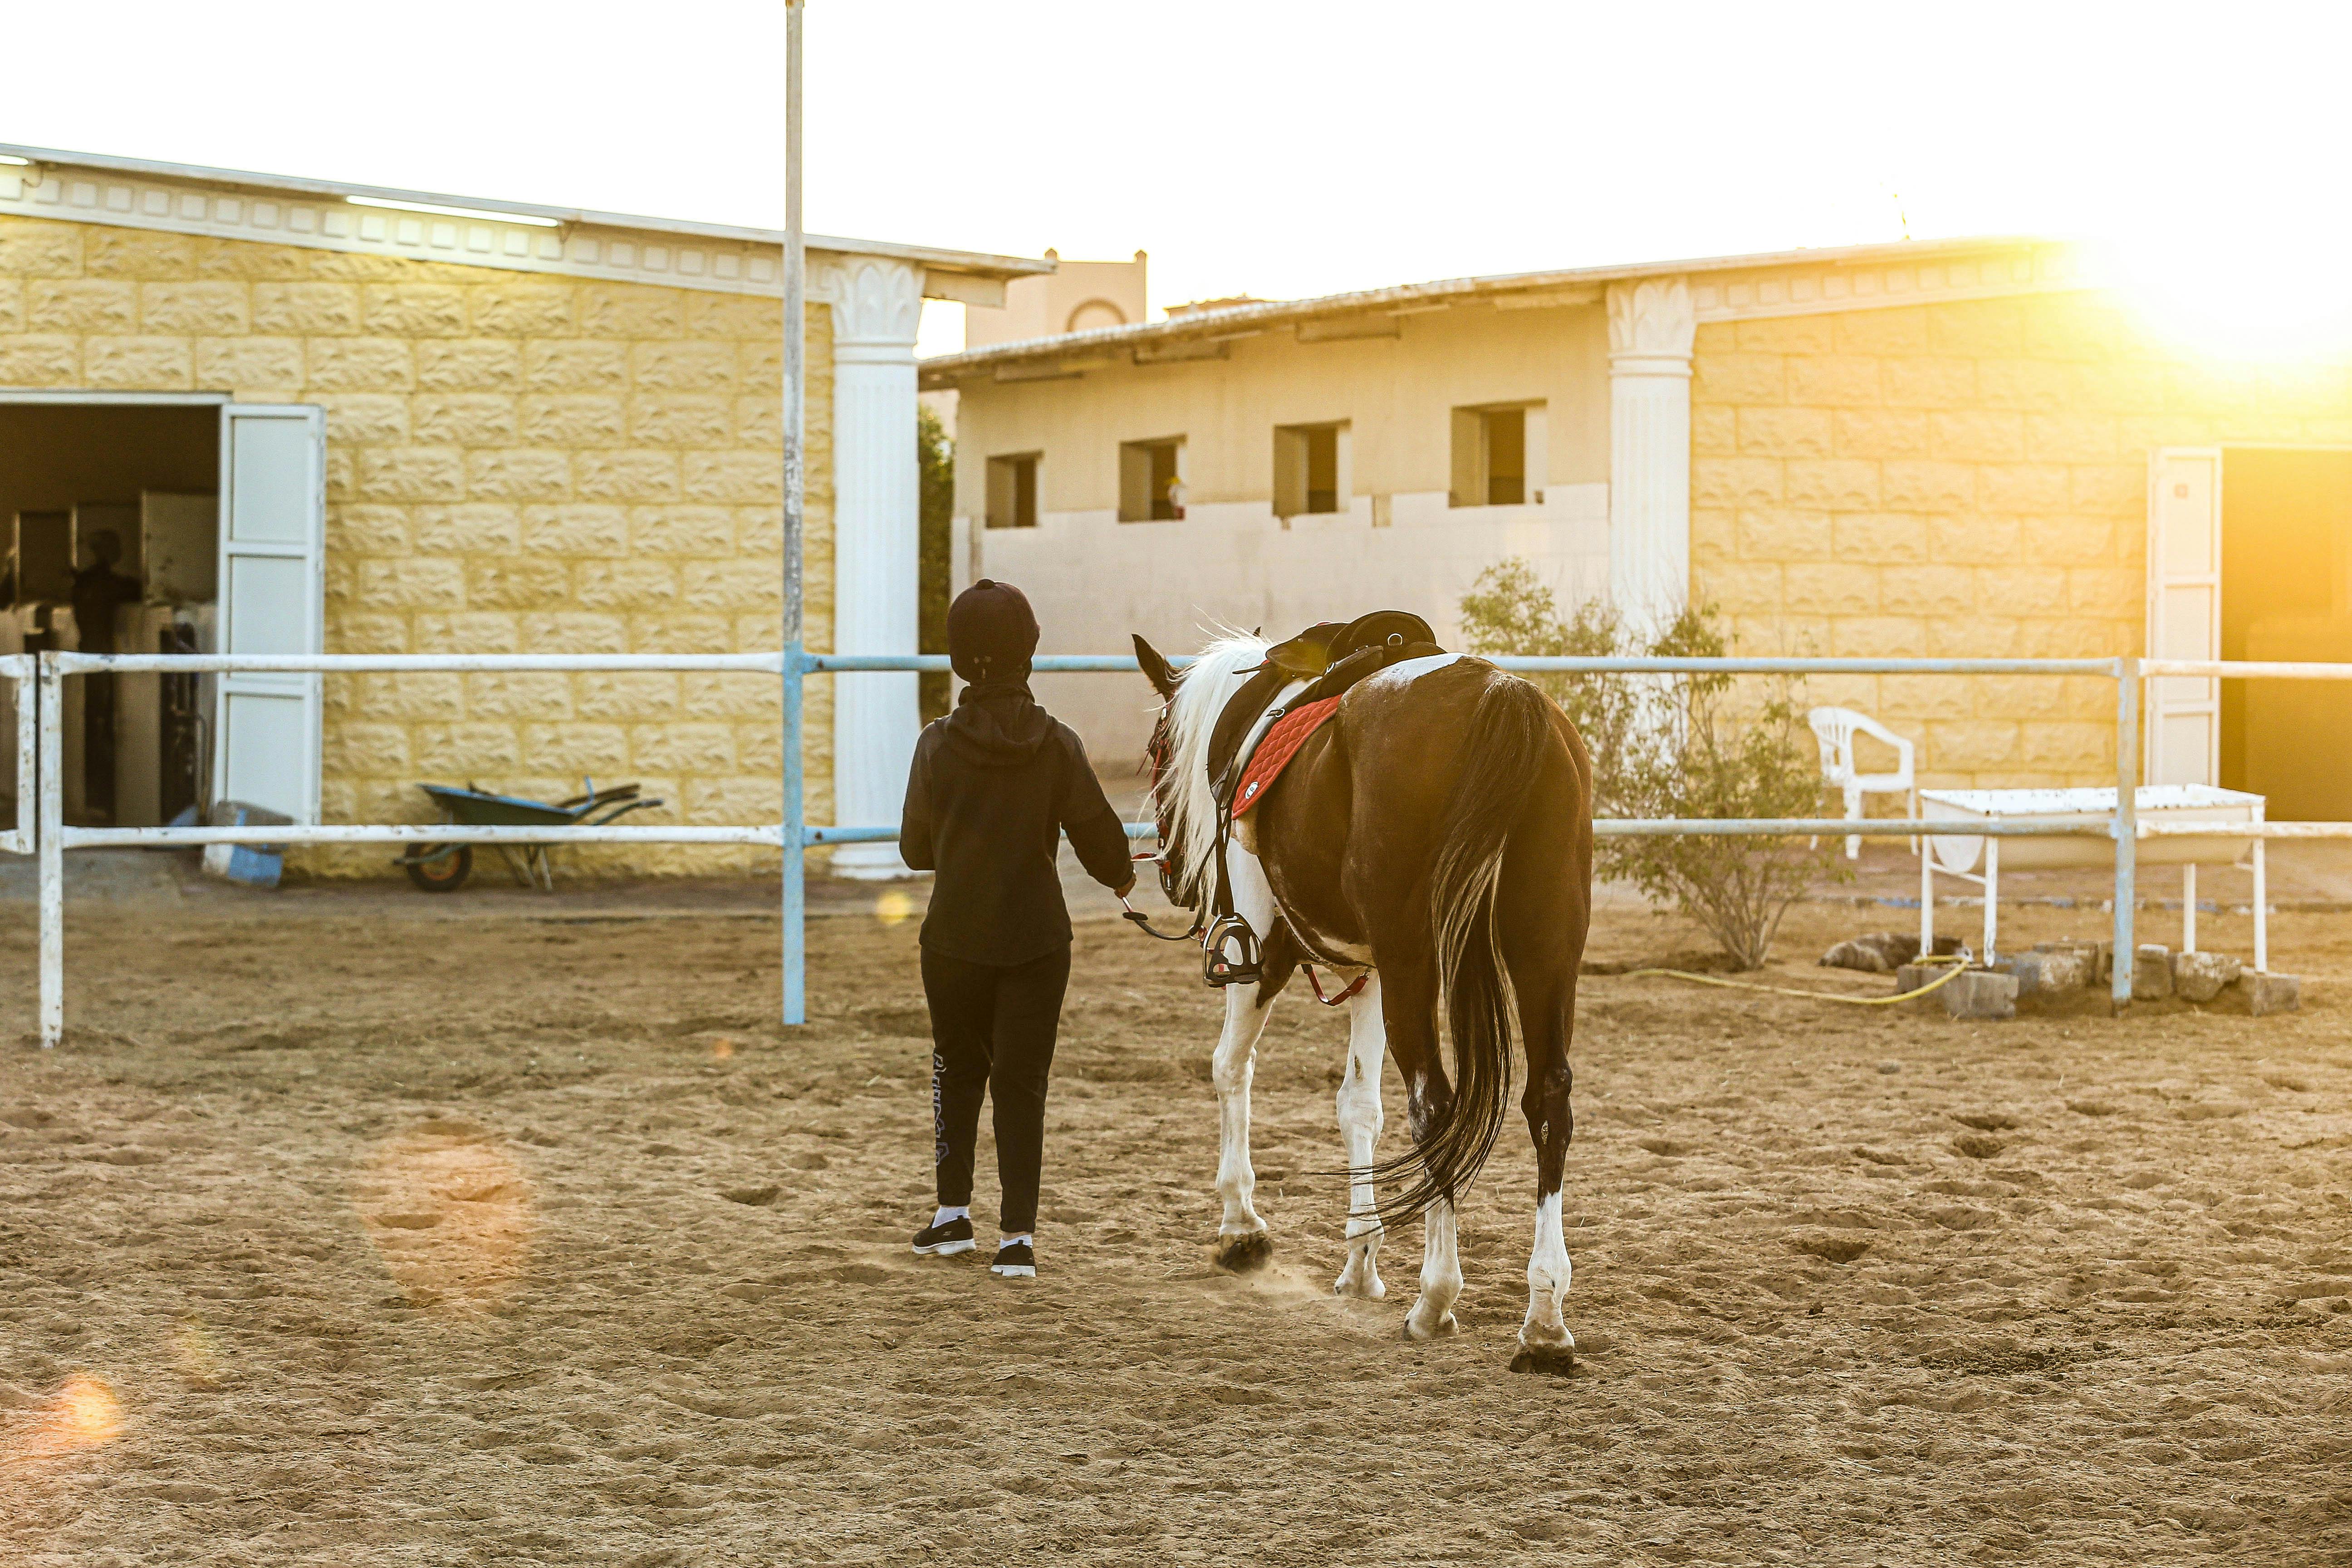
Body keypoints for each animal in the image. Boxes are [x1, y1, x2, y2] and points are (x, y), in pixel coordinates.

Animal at [1132, 631, 1595, 1372]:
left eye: (1156, 749)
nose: (1171, 874)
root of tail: (1499, 695)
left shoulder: (1263, 951)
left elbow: (1231, 1068)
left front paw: (1242, 1229)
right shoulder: (1371, 975)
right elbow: (1359, 1107)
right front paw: (1360, 1262)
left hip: (1414, 963)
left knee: (1436, 1105)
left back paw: (1436, 1298)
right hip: (1544, 950)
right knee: (1549, 1103)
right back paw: (1545, 1321)